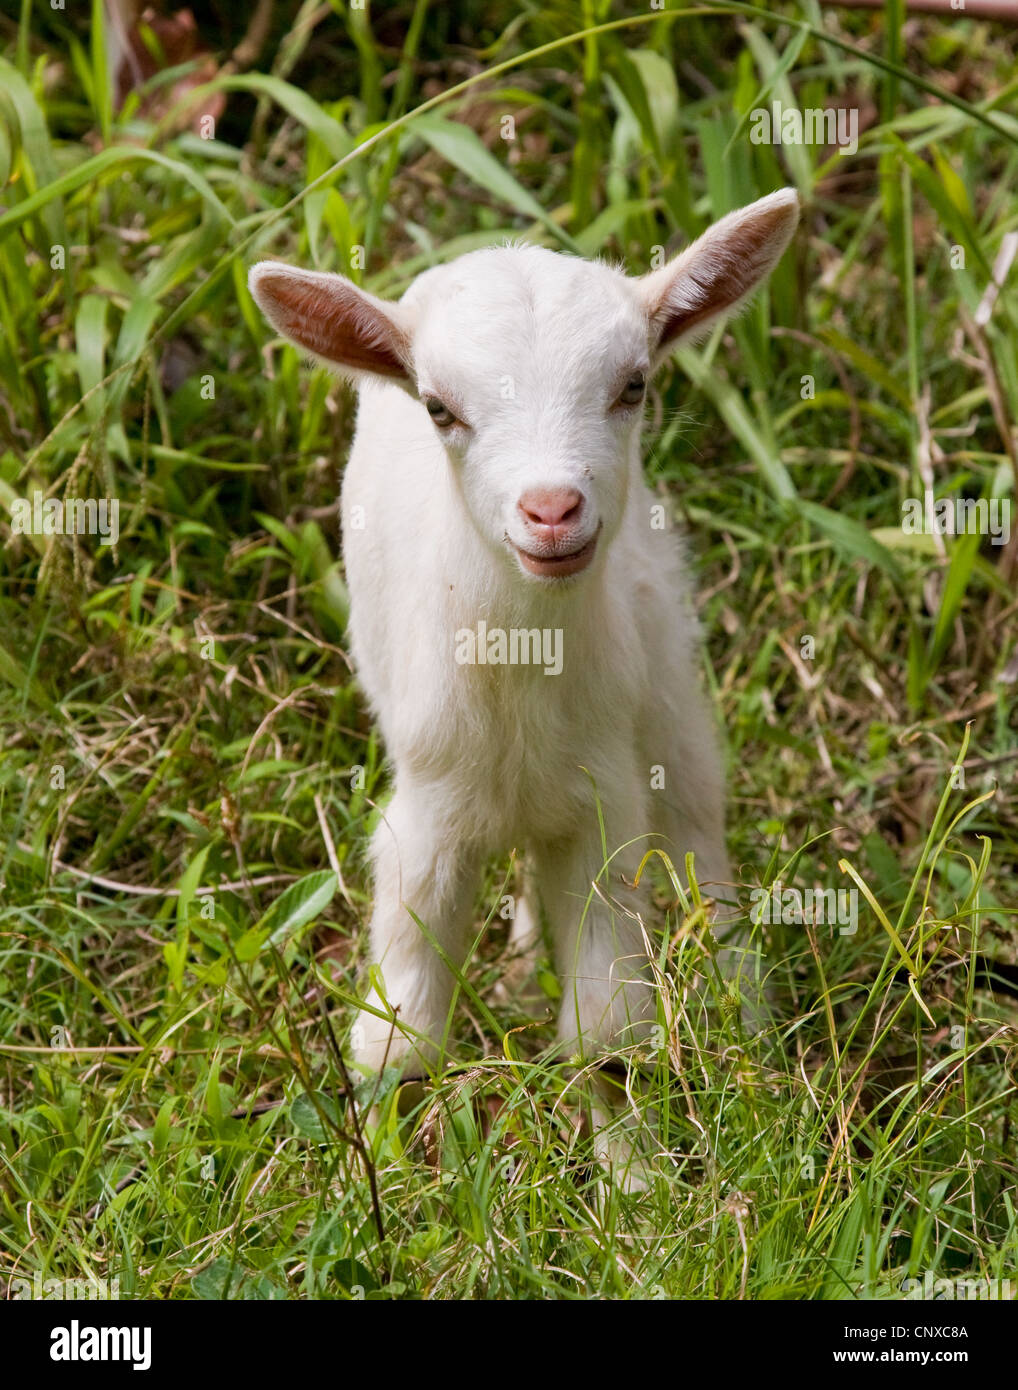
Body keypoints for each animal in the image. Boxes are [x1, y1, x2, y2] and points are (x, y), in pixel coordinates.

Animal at [249, 188, 800, 1079]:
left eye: (634, 386)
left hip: (667, 686)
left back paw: (745, 1020)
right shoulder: (424, 818)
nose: (551, 510)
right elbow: (400, 1037)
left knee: (697, 826)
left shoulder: (605, 806)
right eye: (439, 407)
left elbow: (605, 1032)